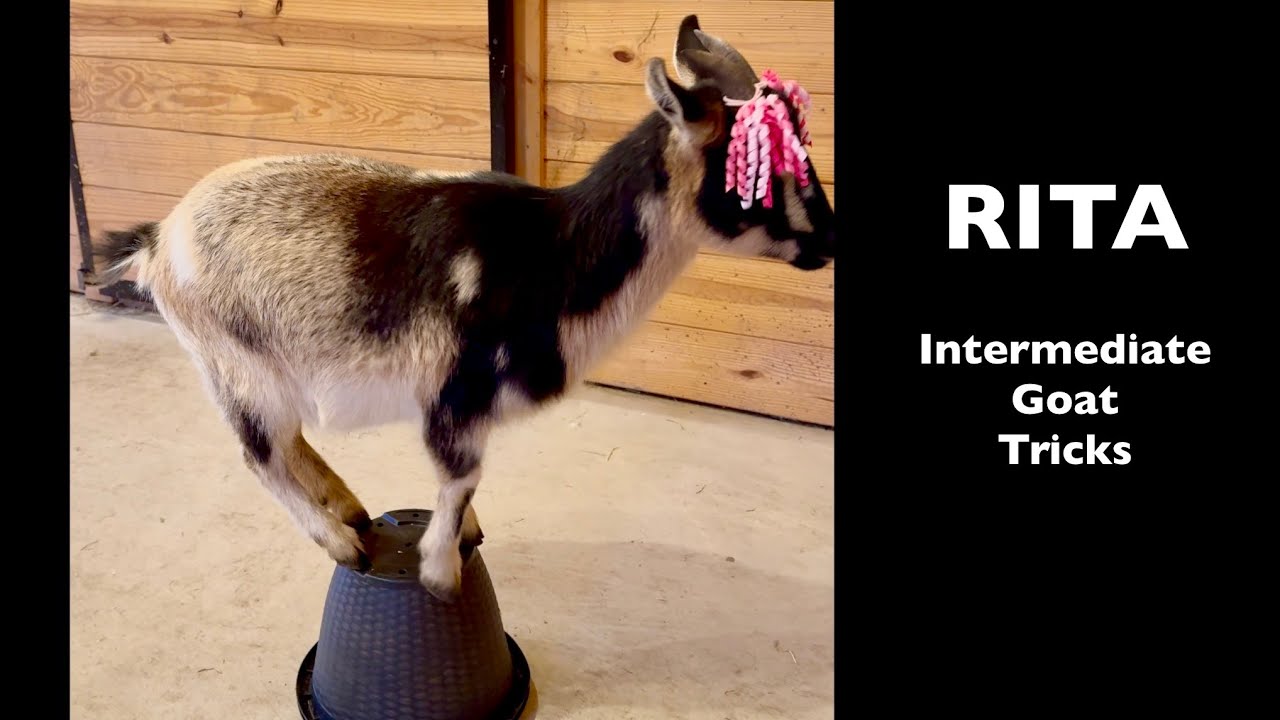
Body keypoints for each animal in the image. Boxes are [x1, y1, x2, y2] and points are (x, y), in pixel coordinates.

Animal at [94, 15, 836, 601]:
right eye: (760, 170)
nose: (829, 238)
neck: (552, 254)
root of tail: (157, 241)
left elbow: (466, 486)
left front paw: (460, 543)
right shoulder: (457, 394)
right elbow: (462, 477)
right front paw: (441, 574)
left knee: (288, 443)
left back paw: (351, 509)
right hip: (233, 362)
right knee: (262, 454)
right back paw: (341, 541)